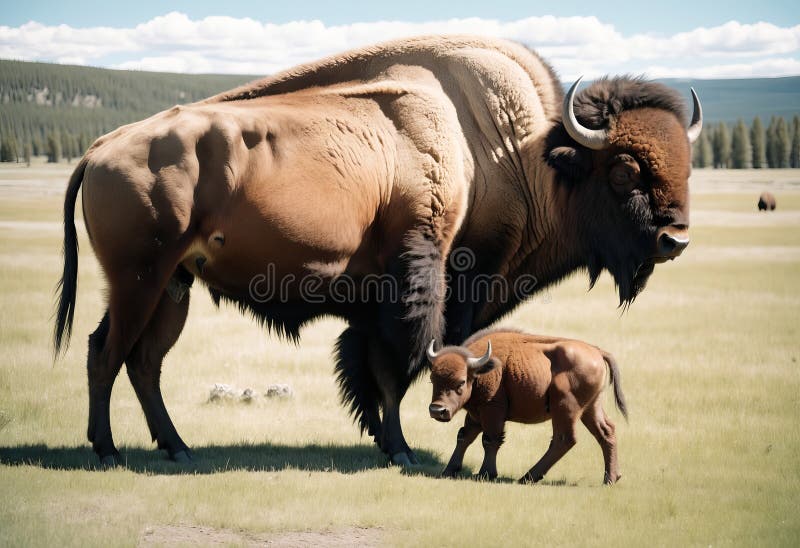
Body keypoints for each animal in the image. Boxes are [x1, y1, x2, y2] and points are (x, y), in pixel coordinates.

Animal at [53, 35, 701, 466]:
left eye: (687, 163)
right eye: (623, 170)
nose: (675, 239)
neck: (508, 154)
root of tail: (102, 146)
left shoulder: (374, 302)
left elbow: (377, 373)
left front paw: (387, 441)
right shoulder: (423, 285)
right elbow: (401, 370)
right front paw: (403, 449)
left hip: (174, 285)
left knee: (142, 361)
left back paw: (178, 448)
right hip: (140, 278)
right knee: (107, 353)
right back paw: (108, 451)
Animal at [427, 328, 628, 485]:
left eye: (461, 382)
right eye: (432, 379)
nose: (437, 410)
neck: (479, 371)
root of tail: (597, 351)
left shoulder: (492, 412)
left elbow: (490, 440)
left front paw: (485, 474)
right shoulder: (476, 414)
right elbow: (464, 436)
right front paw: (449, 470)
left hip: (565, 409)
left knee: (563, 439)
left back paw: (528, 477)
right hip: (590, 408)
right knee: (606, 432)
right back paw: (610, 478)